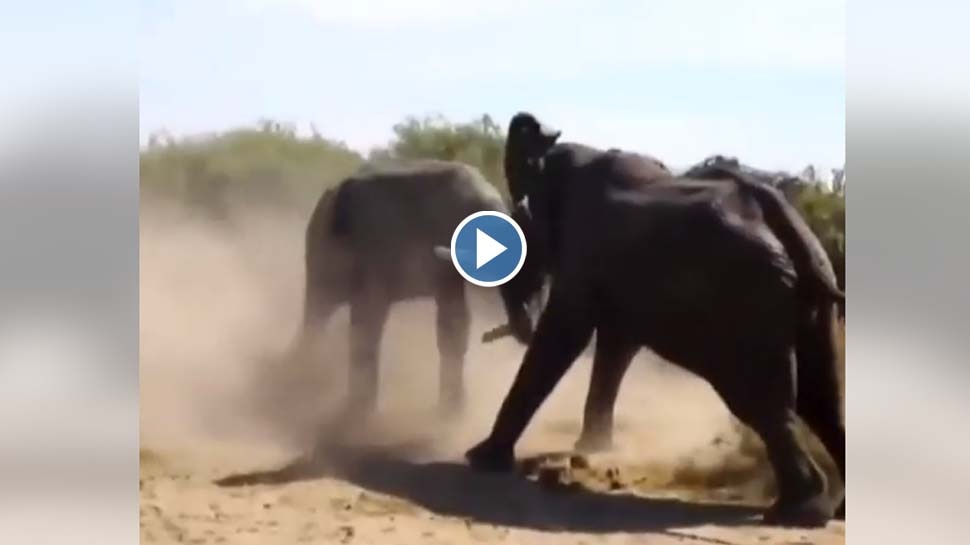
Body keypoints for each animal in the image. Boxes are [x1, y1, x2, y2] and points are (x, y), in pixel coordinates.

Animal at [294, 158, 535, 419]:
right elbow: (369, 318)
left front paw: (452, 413)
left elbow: (454, 323)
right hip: (321, 248)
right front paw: (362, 411)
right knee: (323, 310)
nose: (523, 328)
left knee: (322, 311)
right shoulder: (379, 245)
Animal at [465, 113, 845, 527]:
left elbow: (565, 334)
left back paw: (797, 513)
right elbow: (616, 345)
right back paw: (832, 510)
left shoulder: (583, 253)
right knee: (821, 398)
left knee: (763, 404)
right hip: (804, 295)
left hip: (748, 302)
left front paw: (479, 460)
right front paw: (591, 450)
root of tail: (784, 218)